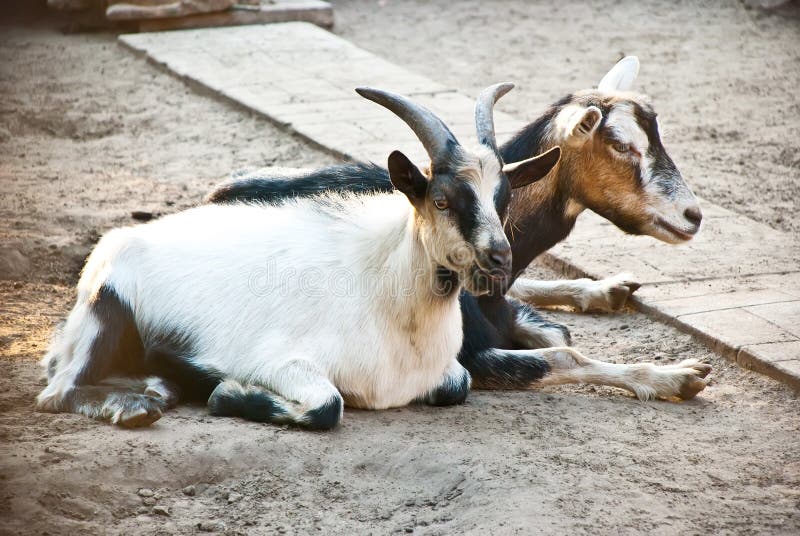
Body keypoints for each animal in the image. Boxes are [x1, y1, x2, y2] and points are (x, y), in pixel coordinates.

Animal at [36, 84, 561, 429]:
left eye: (503, 199)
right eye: (442, 200)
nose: (498, 259)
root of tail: (121, 238)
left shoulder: (449, 373)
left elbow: (459, 385)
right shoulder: (276, 361)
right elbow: (328, 406)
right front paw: (226, 392)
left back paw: (155, 388)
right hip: (107, 307)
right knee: (57, 391)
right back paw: (137, 405)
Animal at [208, 57, 712, 401]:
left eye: (504, 197)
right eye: (620, 145)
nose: (693, 215)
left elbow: (556, 335)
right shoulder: (469, 358)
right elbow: (560, 353)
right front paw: (677, 376)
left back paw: (607, 288)